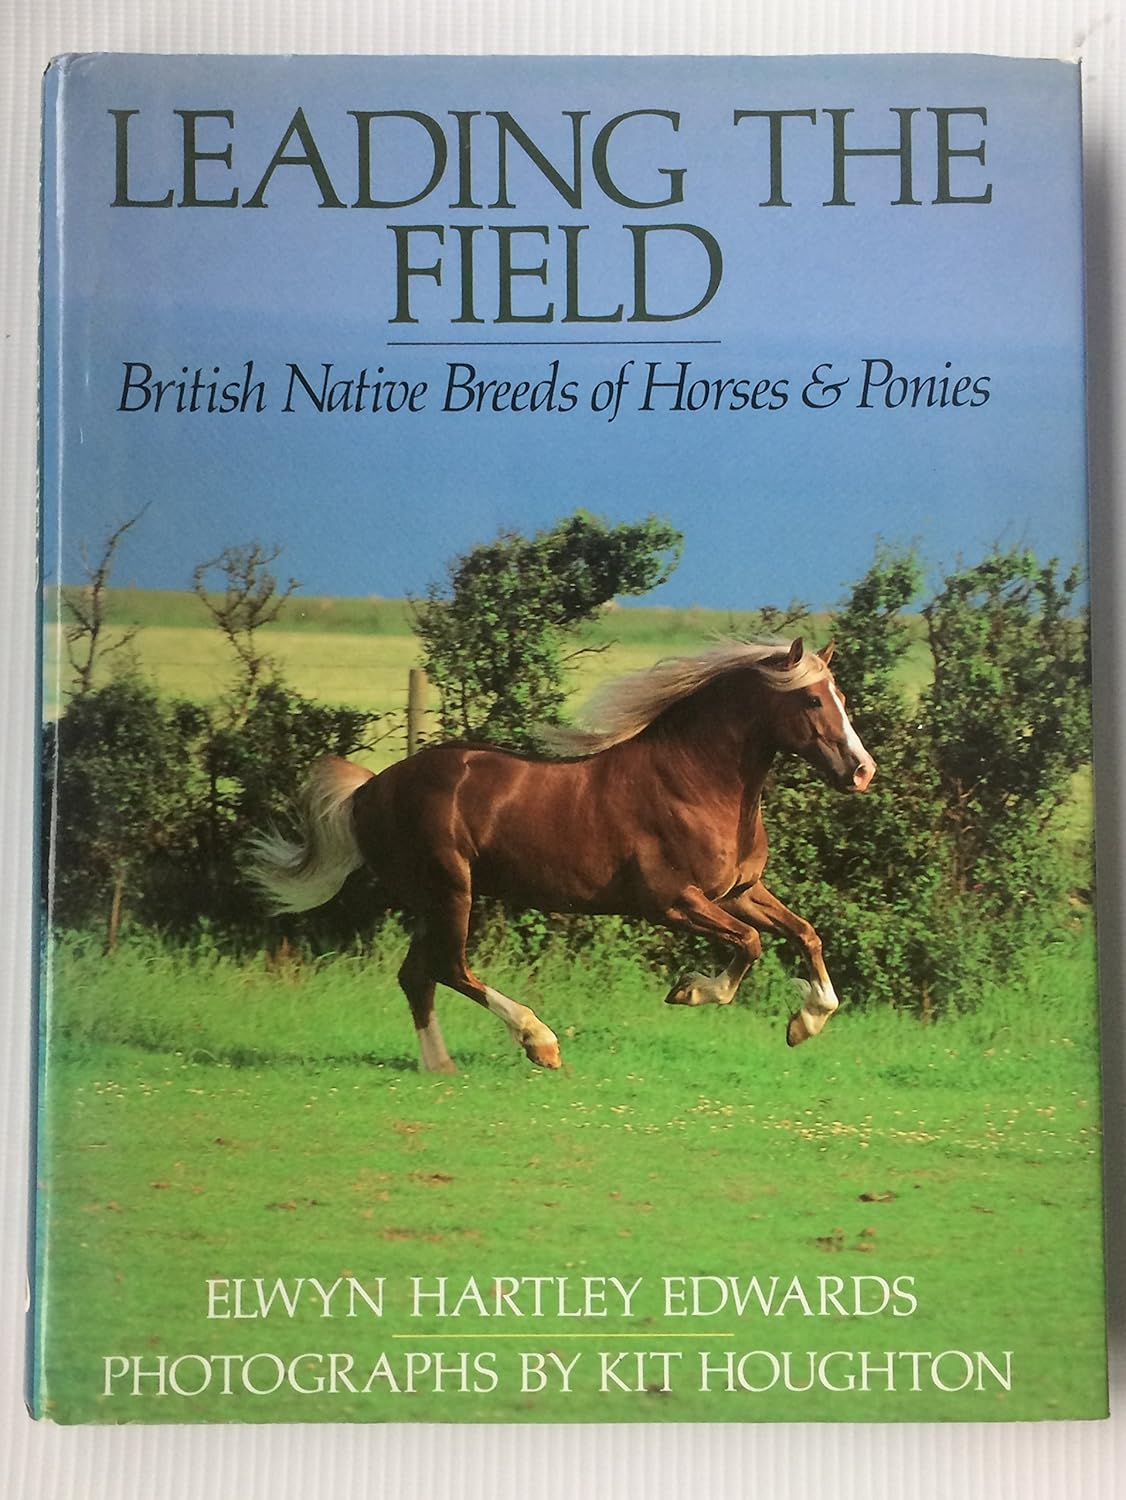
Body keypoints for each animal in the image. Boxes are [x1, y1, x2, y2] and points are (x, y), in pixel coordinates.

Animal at [248, 637, 875, 1072]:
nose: (862, 771)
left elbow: (805, 934)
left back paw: (441, 1065)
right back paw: (539, 1042)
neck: (694, 782)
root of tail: (369, 791)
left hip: (433, 899)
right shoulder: (671, 902)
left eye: (842, 698)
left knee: (416, 977)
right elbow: (750, 944)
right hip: (451, 890)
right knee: (448, 968)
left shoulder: (739, 892)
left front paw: (805, 1022)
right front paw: (691, 990)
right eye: (813, 699)